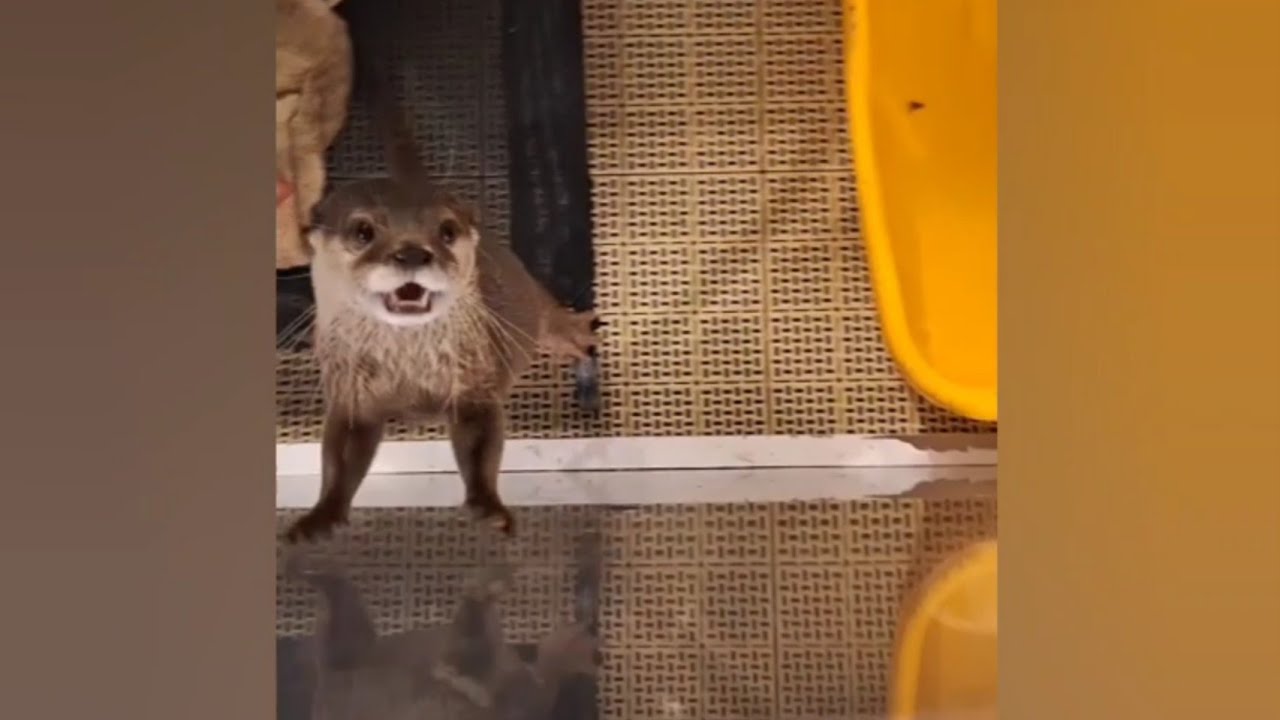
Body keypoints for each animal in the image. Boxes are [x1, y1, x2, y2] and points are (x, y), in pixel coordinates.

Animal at [284, 65, 598, 544]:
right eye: (362, 232)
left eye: (446, 231)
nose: (413, 253)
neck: (411, 379)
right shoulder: (351, 393)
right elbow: (341, 453)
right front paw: (318, 518)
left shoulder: (473, 377)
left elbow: (480, 437)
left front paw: (488, 507)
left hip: (522, 286)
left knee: (546, 309)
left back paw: (573, 333)